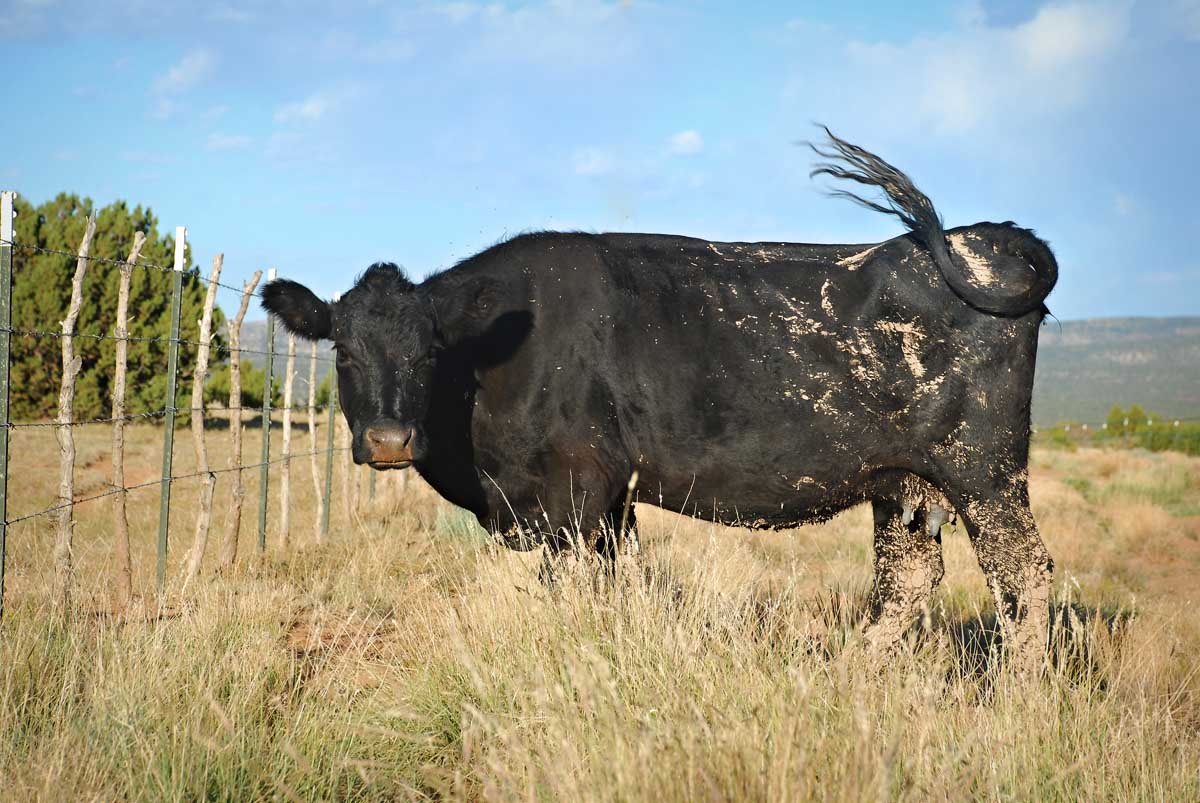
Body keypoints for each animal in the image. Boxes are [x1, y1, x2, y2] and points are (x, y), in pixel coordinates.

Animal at [262, 132, 1058, 672]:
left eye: (429, 352)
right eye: (342, 351)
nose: (389, 440)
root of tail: (987, 236)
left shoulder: (576, 491)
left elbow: (573, 586)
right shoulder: (610, 499)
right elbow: (618, 582)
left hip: (985, 471)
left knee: (1023, 575)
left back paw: (1021, 698)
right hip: (903, 479)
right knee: (908, 579)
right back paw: (851, 675)